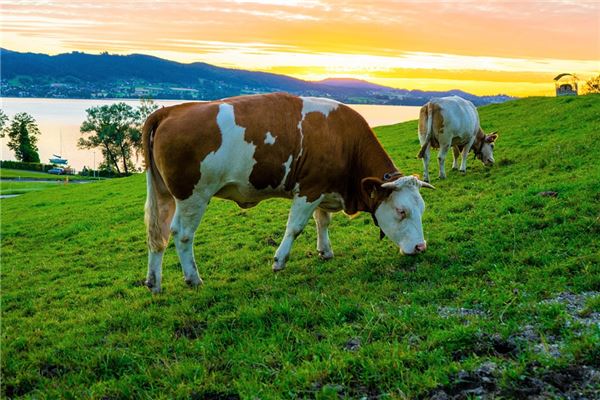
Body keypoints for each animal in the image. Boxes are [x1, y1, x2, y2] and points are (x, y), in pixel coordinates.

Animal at [142, 94, 432, 294]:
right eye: (401, 211)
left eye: (422, 209)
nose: (421, 246)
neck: (345, 142)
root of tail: (171, 110)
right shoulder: (308, 189)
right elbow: (295, 227)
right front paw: (279, 261)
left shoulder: (323, 188)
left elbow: (322, 221)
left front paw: (325, 251)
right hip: (193, 195)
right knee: (182, 234)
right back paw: (193, 278)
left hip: (164, 193)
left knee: (159, 234)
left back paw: (154, 283)